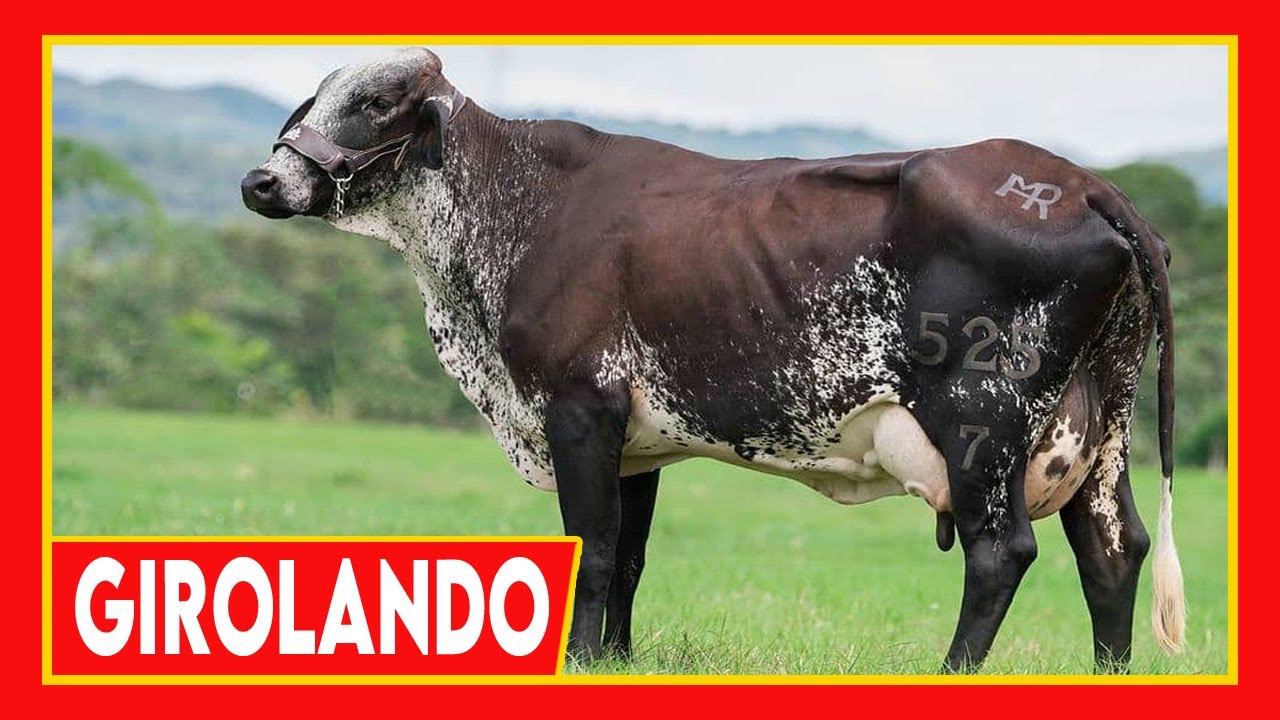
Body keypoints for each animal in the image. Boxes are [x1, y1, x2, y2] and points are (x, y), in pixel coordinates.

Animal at [241, 47, 1185, 673]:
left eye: (375, 102)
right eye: (315, 97)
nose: (262, 181)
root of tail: (1081, 183)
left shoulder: (578, 409)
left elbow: (591, 547)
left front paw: (579, 661)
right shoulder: (636, 439)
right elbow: (626, 555)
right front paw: (613, 661)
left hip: (981, 421)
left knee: (1002, 553)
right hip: (1099, 430)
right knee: (1113, 549)